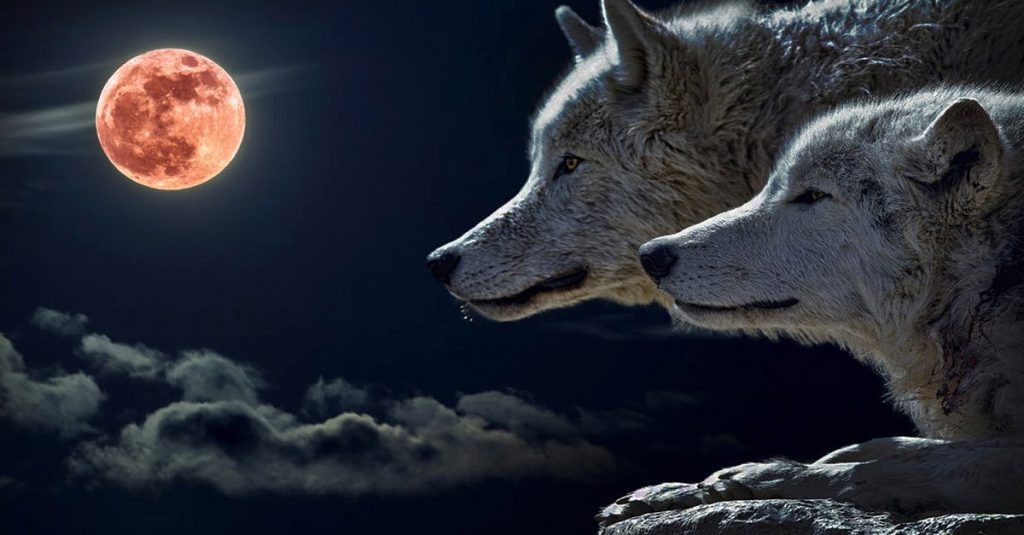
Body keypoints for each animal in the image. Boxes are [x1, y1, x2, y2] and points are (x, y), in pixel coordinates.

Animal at [603, 88, 1024, 526]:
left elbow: (887, 468)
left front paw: (755, 479)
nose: (651, 254)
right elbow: (889, 447)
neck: (988, 284)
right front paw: (679, 490)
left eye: (814, 195)